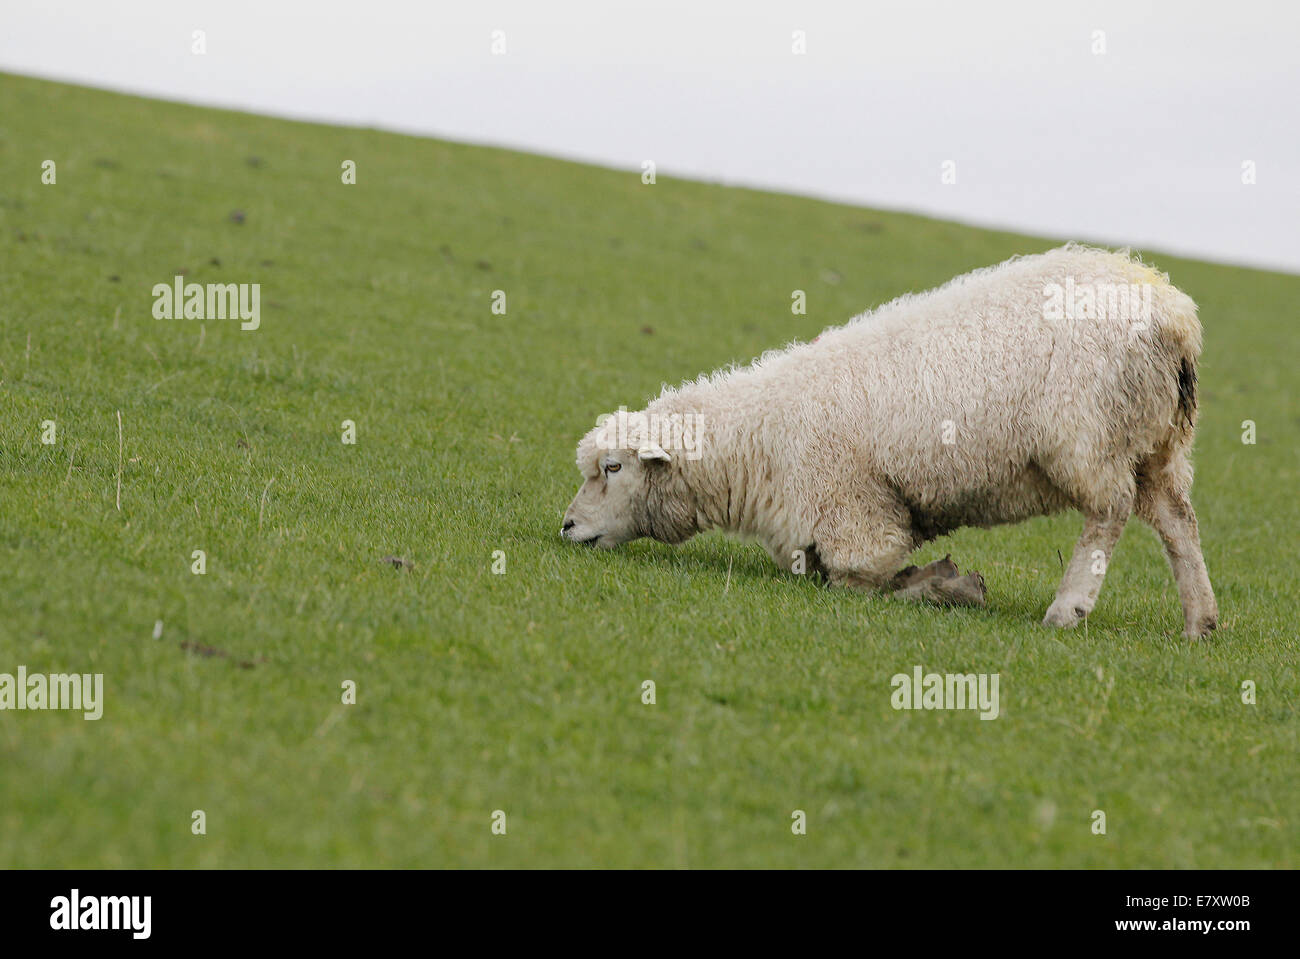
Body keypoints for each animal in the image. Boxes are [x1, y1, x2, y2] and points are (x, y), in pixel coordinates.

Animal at [561, 245, 1218, 638]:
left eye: (612, 468)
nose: (566, 526)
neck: (757, 445)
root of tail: (1174, 312)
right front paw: (949, 584)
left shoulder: (855, 511)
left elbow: (865, 577)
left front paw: (947, 586)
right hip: (1157, 443)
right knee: (1177, 520)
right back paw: (1201, 623)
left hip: (1090, 436)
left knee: (1109, 512)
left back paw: (1068, 608)